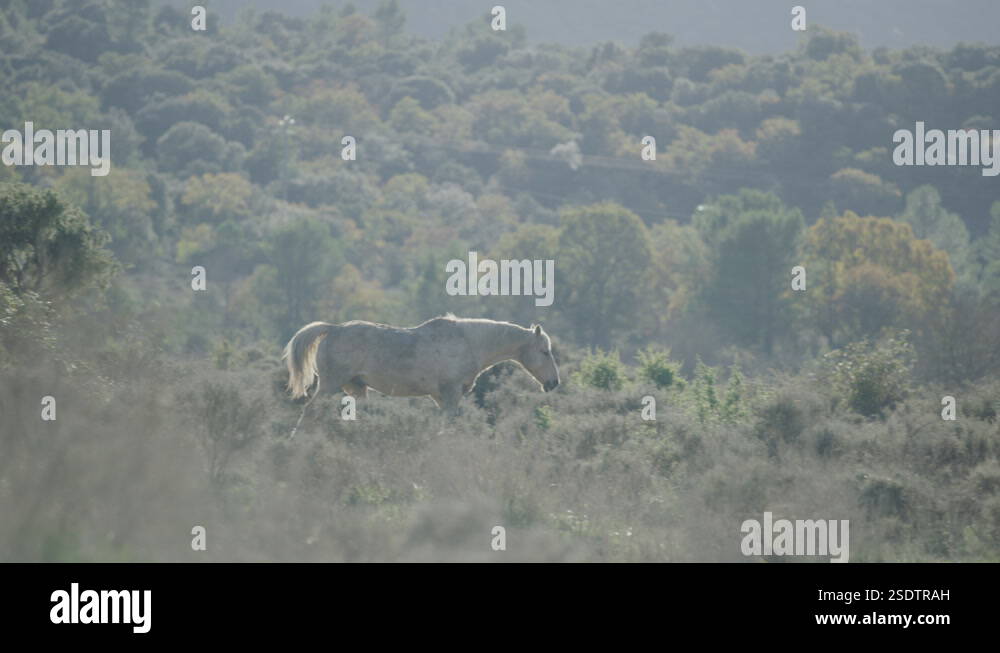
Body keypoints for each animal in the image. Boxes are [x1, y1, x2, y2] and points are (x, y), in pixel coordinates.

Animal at [282, 315, 560, 434]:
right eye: (545, 351)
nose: (554, 383)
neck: (469, 343)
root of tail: (332, 329)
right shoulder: (451, 395)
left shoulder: (440, 398)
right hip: (330, 385)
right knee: (309, 412)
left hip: (356, 388)